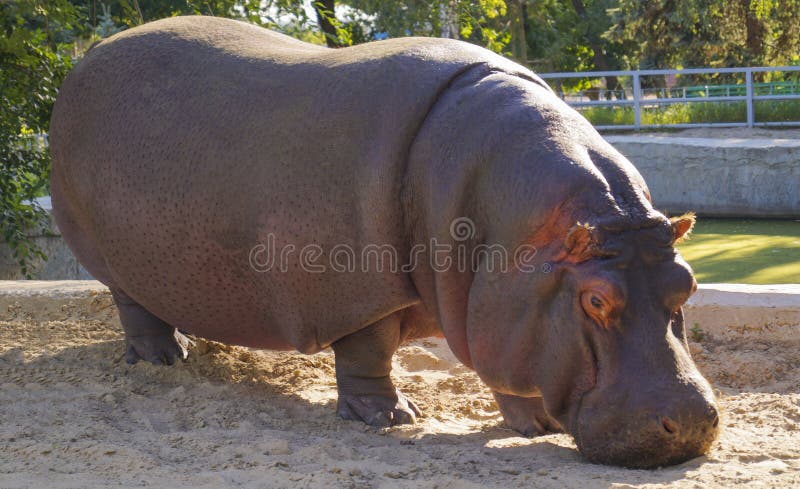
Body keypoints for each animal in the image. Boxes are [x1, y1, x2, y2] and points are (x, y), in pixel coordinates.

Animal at [49, 16, 719, 468]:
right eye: (596, 300)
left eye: (687, 284)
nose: (690, 425)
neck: (514, 233)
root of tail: (88, 58)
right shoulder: (365, 292)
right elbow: (369, 352)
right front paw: (391, 419)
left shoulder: (497, 302)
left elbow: (509, 358)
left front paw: (532, 426)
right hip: (106, 257)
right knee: (134, 308)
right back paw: (165, 361)